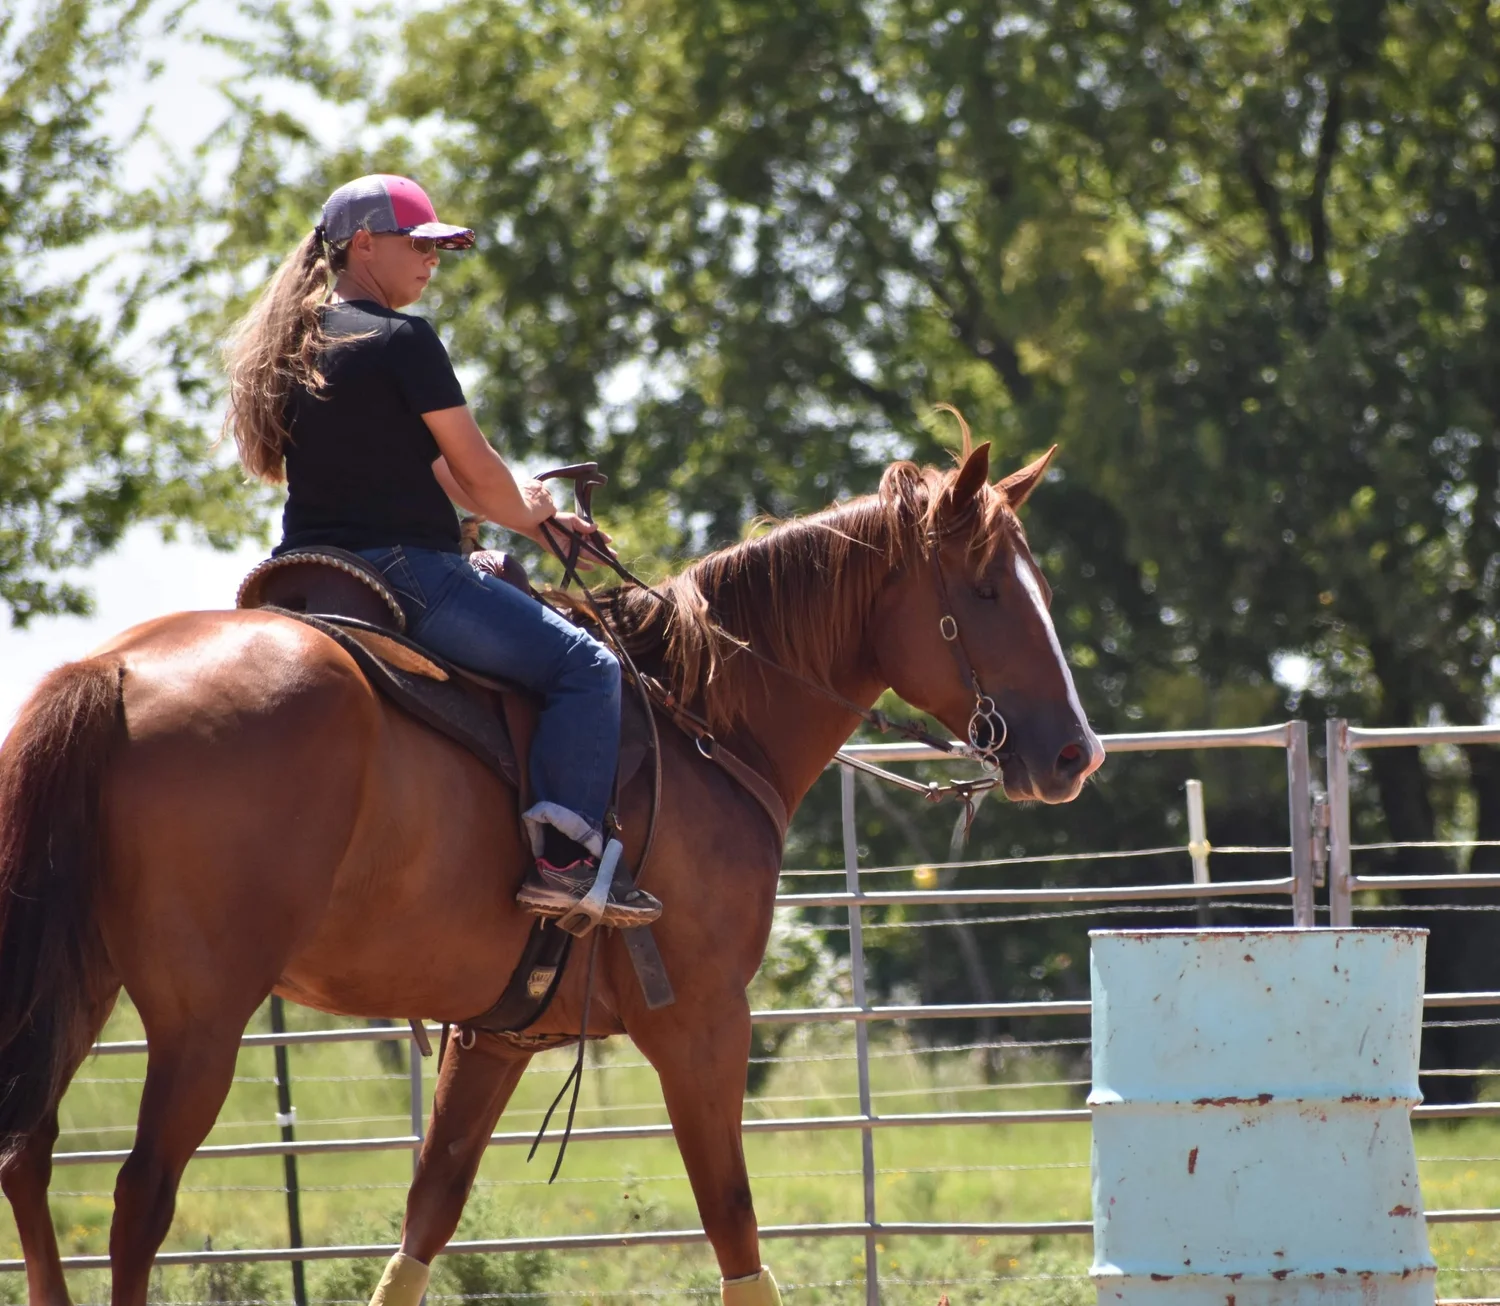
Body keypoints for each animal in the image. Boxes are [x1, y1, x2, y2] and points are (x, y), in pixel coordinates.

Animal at [0, 437, 1103, 1306]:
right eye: (987, 589)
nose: (1073, 754)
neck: (704, 720)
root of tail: (112, 671)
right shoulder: (703, 1023)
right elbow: (735, 1227)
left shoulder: (495, 1035)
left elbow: (427, 1215)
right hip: (202, 1017)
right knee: (138, 1198)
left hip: (79, 981)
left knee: (27, 1154)